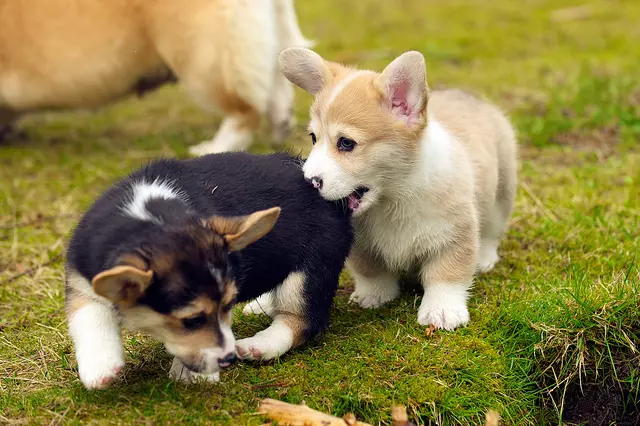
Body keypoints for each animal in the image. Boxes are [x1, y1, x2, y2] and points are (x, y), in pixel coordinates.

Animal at [65, 152, 352, 390]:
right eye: (192, 320)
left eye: (227, 306)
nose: (229, 359)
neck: (147, 217)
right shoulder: (82, 283)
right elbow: (89, 316)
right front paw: (99, 367)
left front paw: (193, 375)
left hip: (310, 271)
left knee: (302, 320)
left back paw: (259, 346)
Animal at [278, 48, 516, 332]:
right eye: (314, 138)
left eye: (346, 143)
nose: (308, 182)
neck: (395, 196)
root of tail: (468, 96)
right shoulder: (362, 245)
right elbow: (371, 271)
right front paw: (373, 296)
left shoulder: (454, 235)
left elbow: (447, 274)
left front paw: (442, 311)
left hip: (502, 193)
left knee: (492, 231)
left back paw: (485, 258)